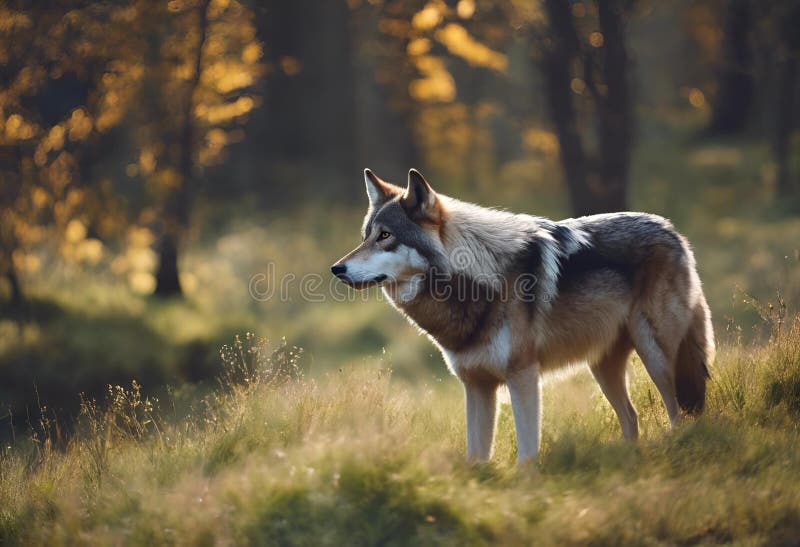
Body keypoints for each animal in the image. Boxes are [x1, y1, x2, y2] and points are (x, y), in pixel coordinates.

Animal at [331, 168, 715, 464]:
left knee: (678, 413)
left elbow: (528, 453)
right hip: (602, 367)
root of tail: (672, 230)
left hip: (656, 356)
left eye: (385, 236)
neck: (476, 283)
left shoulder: (522, 376)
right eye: (365, 236)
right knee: (632, 418)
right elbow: (476, 456)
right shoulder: (476, 385)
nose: (337, 269)